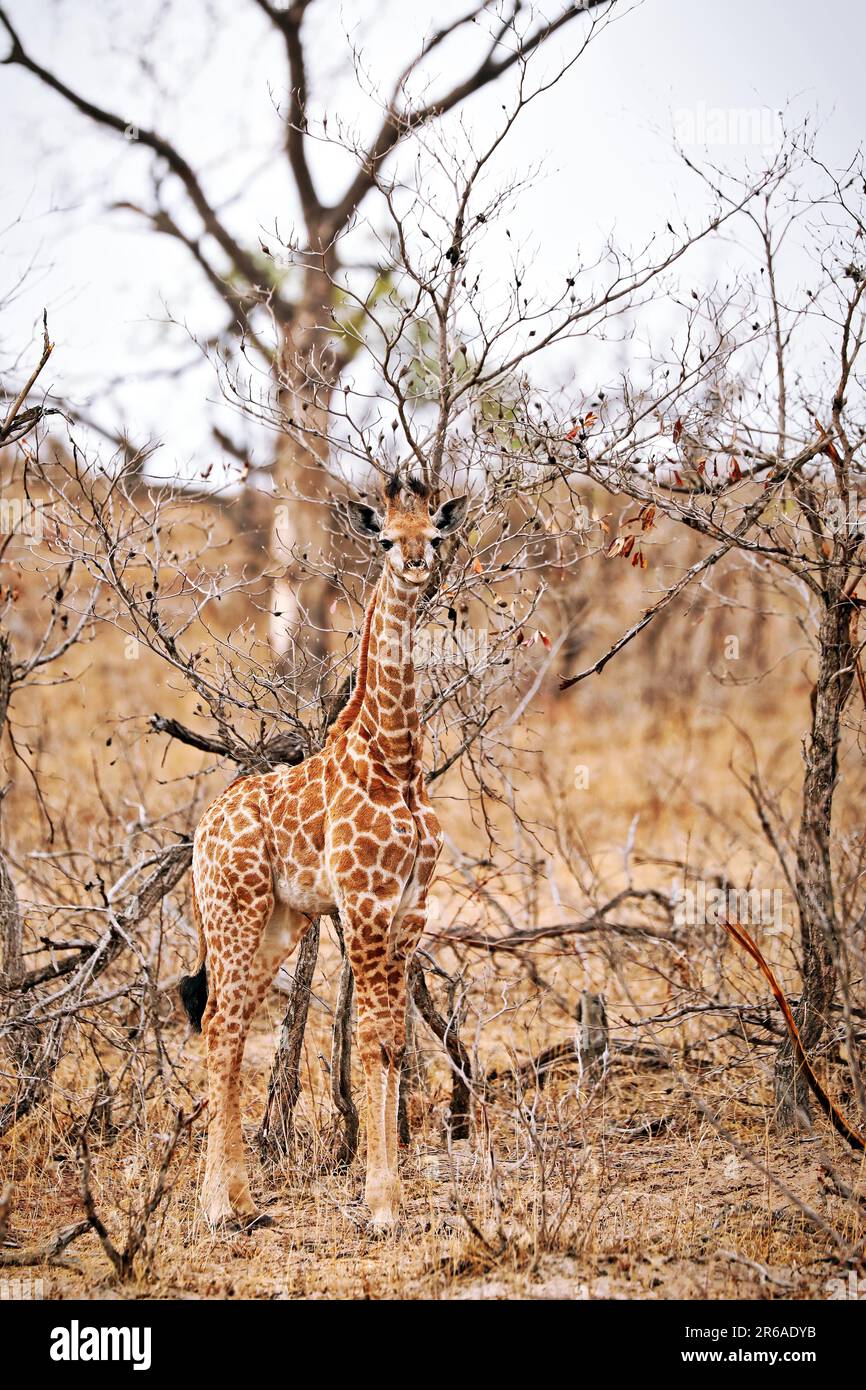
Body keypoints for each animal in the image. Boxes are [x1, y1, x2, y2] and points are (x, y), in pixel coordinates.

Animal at [181, 476, 468, 1230]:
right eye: (387, 538)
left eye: (435, 533)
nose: (418, 565)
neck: (396, 760)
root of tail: (200, 835)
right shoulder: (365, 905)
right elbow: (370, 1040)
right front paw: (382, 1206)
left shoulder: (410, 907)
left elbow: (395, 1041)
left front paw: (390, 1196)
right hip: (233, 910)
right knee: (218, 1020)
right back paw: (218, 1207)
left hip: (279, 923)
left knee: (232, 1025)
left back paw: (242, 1200)